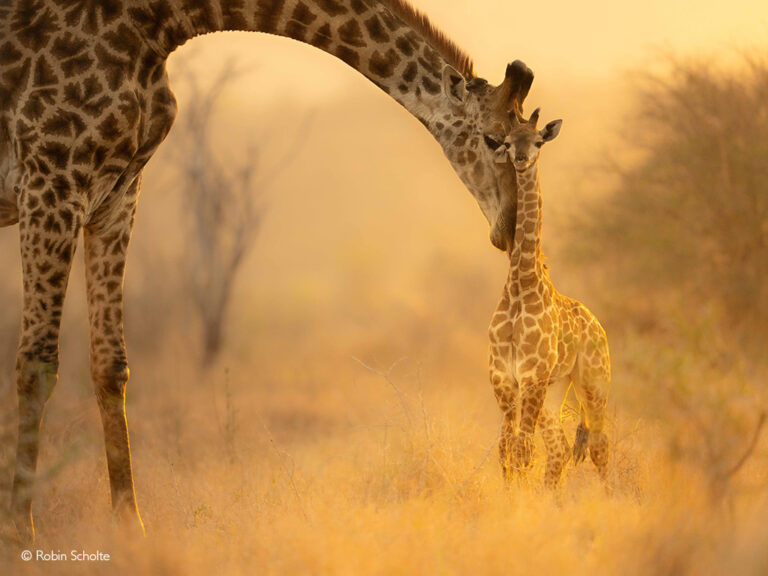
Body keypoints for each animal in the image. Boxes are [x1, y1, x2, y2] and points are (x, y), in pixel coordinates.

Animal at [0, 0, 534, 540]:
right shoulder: (51, 179)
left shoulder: (116, 195)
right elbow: (37, 363)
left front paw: (132, 525)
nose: (510, 226)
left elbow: (111, 364)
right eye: (493, 140)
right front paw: (22, 531)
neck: (158, 25)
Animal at [487, 108, 611, 488]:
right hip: (556, 389)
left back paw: (614, 497)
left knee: (599, 444)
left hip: (593, 382)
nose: (522, 158)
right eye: (508, 142)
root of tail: (598, 325)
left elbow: (522, 449)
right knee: (559, 449)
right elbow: (506, 449)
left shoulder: (531, 375)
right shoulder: (503, 377)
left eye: (538, 140)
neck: (521, 285)